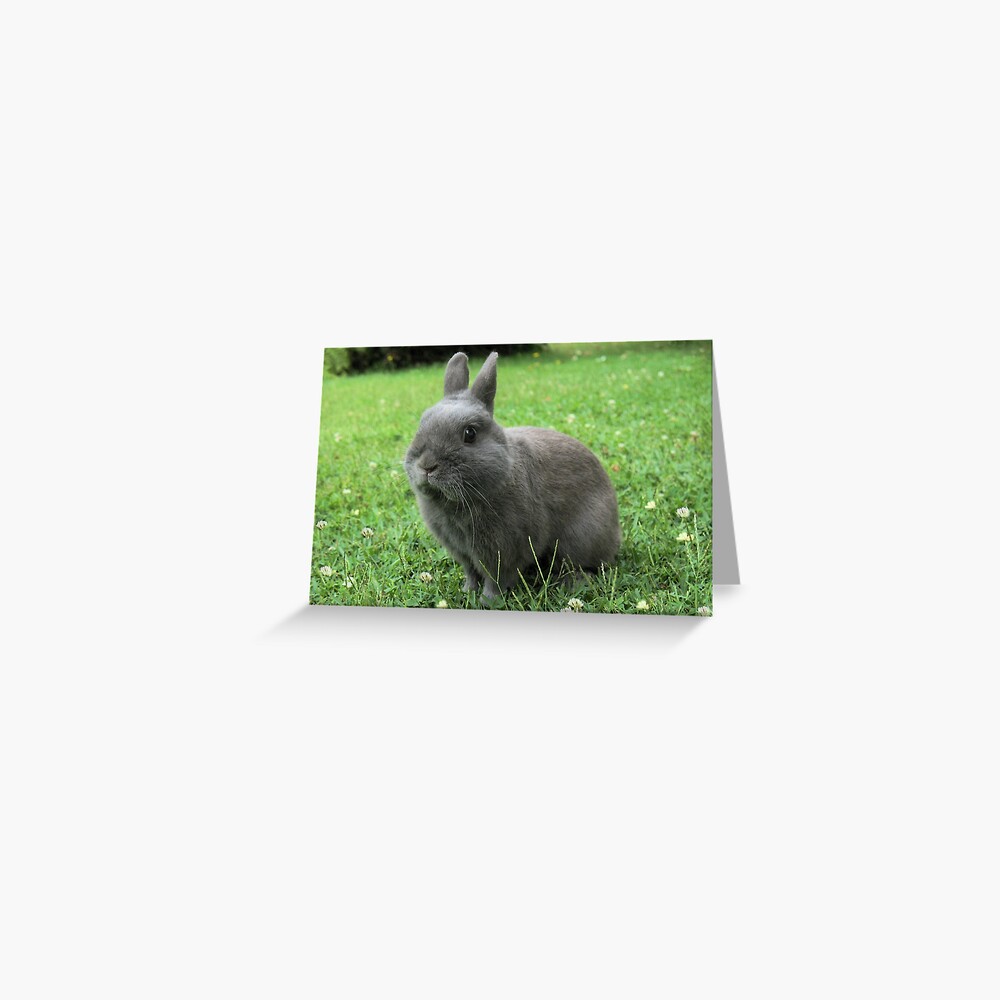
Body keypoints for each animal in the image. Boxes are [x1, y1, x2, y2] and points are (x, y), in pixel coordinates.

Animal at [404, 351, 621, 604]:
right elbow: (471, 573)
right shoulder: (463, 552)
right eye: (422, 423)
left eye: (470, 434)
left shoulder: (502, 552)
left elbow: (496, 579)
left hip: (578, 541)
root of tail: (616, 534)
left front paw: (488, 602)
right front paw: (468, 592)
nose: (427, 466)